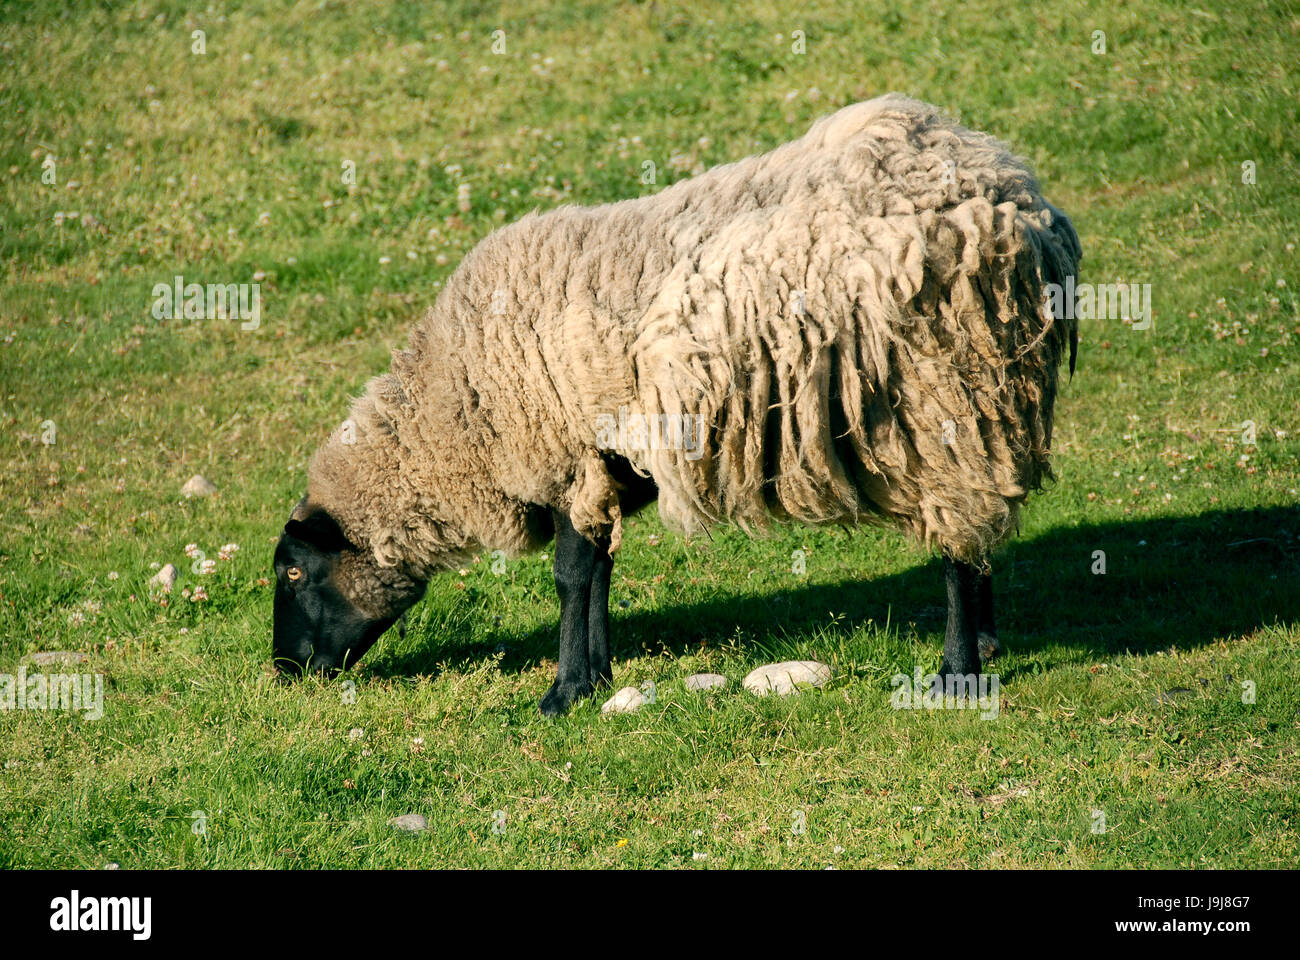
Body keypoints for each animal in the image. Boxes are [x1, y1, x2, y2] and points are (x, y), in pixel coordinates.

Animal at [272, 94, 1082, 715]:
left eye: (293, 574)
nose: (284, 671)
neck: (454, 413)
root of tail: (1019, 208)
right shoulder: (607, 461)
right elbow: (598, 569)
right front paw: (598, 669)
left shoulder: (568, 452)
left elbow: (570, 575)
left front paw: (563, 691)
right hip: (979, 401)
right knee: (976, 524)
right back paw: (986, 642)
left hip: (939, 389)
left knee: (956, 533)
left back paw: (956, 671)